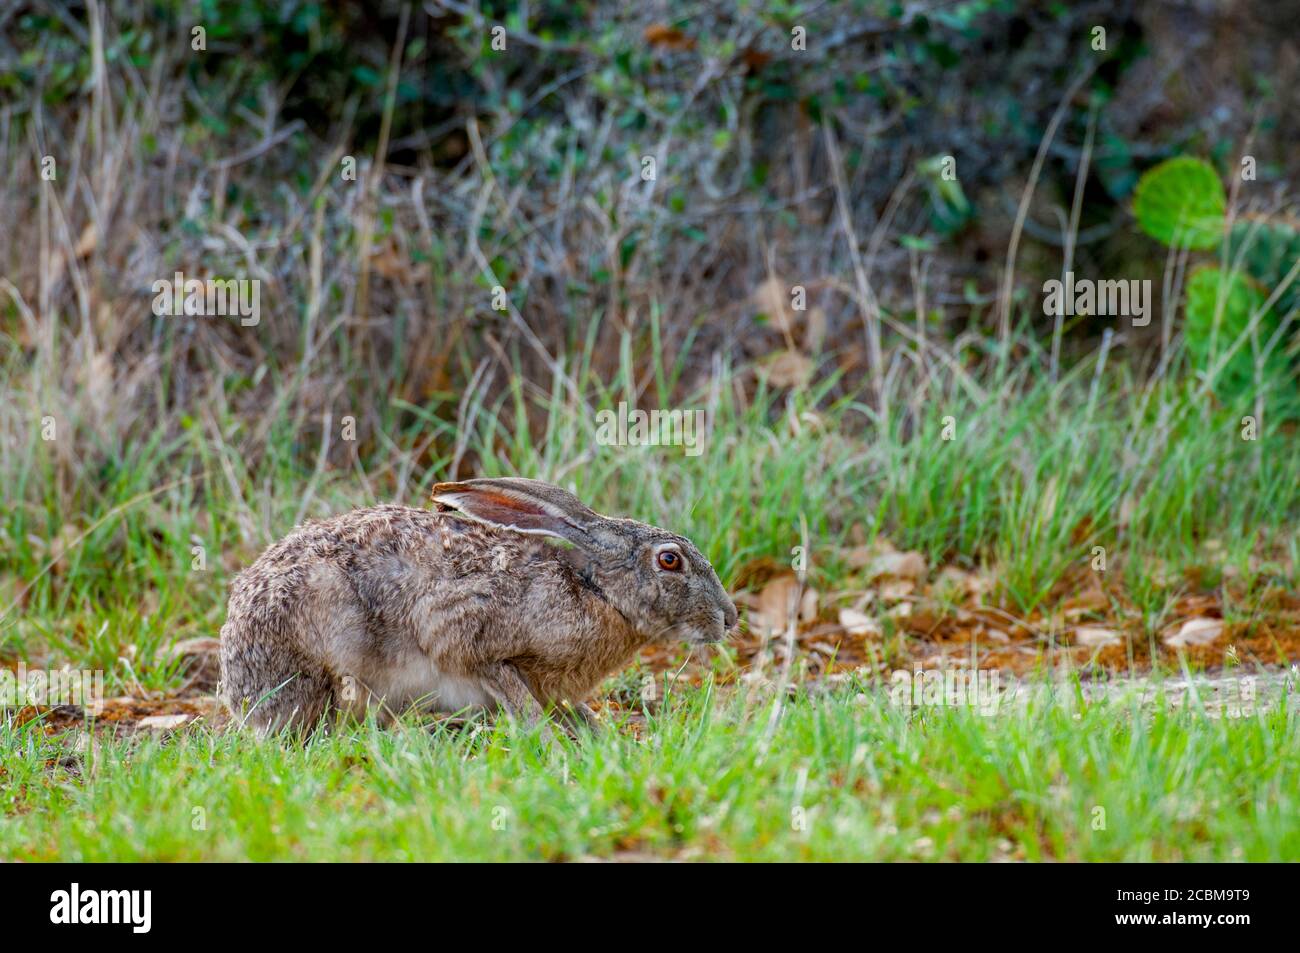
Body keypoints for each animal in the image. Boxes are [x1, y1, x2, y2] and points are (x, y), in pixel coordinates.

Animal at [218, 477, 738, 735]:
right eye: (670, 560)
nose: (730, 619)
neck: (597, 594)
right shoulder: (466, 637)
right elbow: (517, 699)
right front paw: (545, 743)